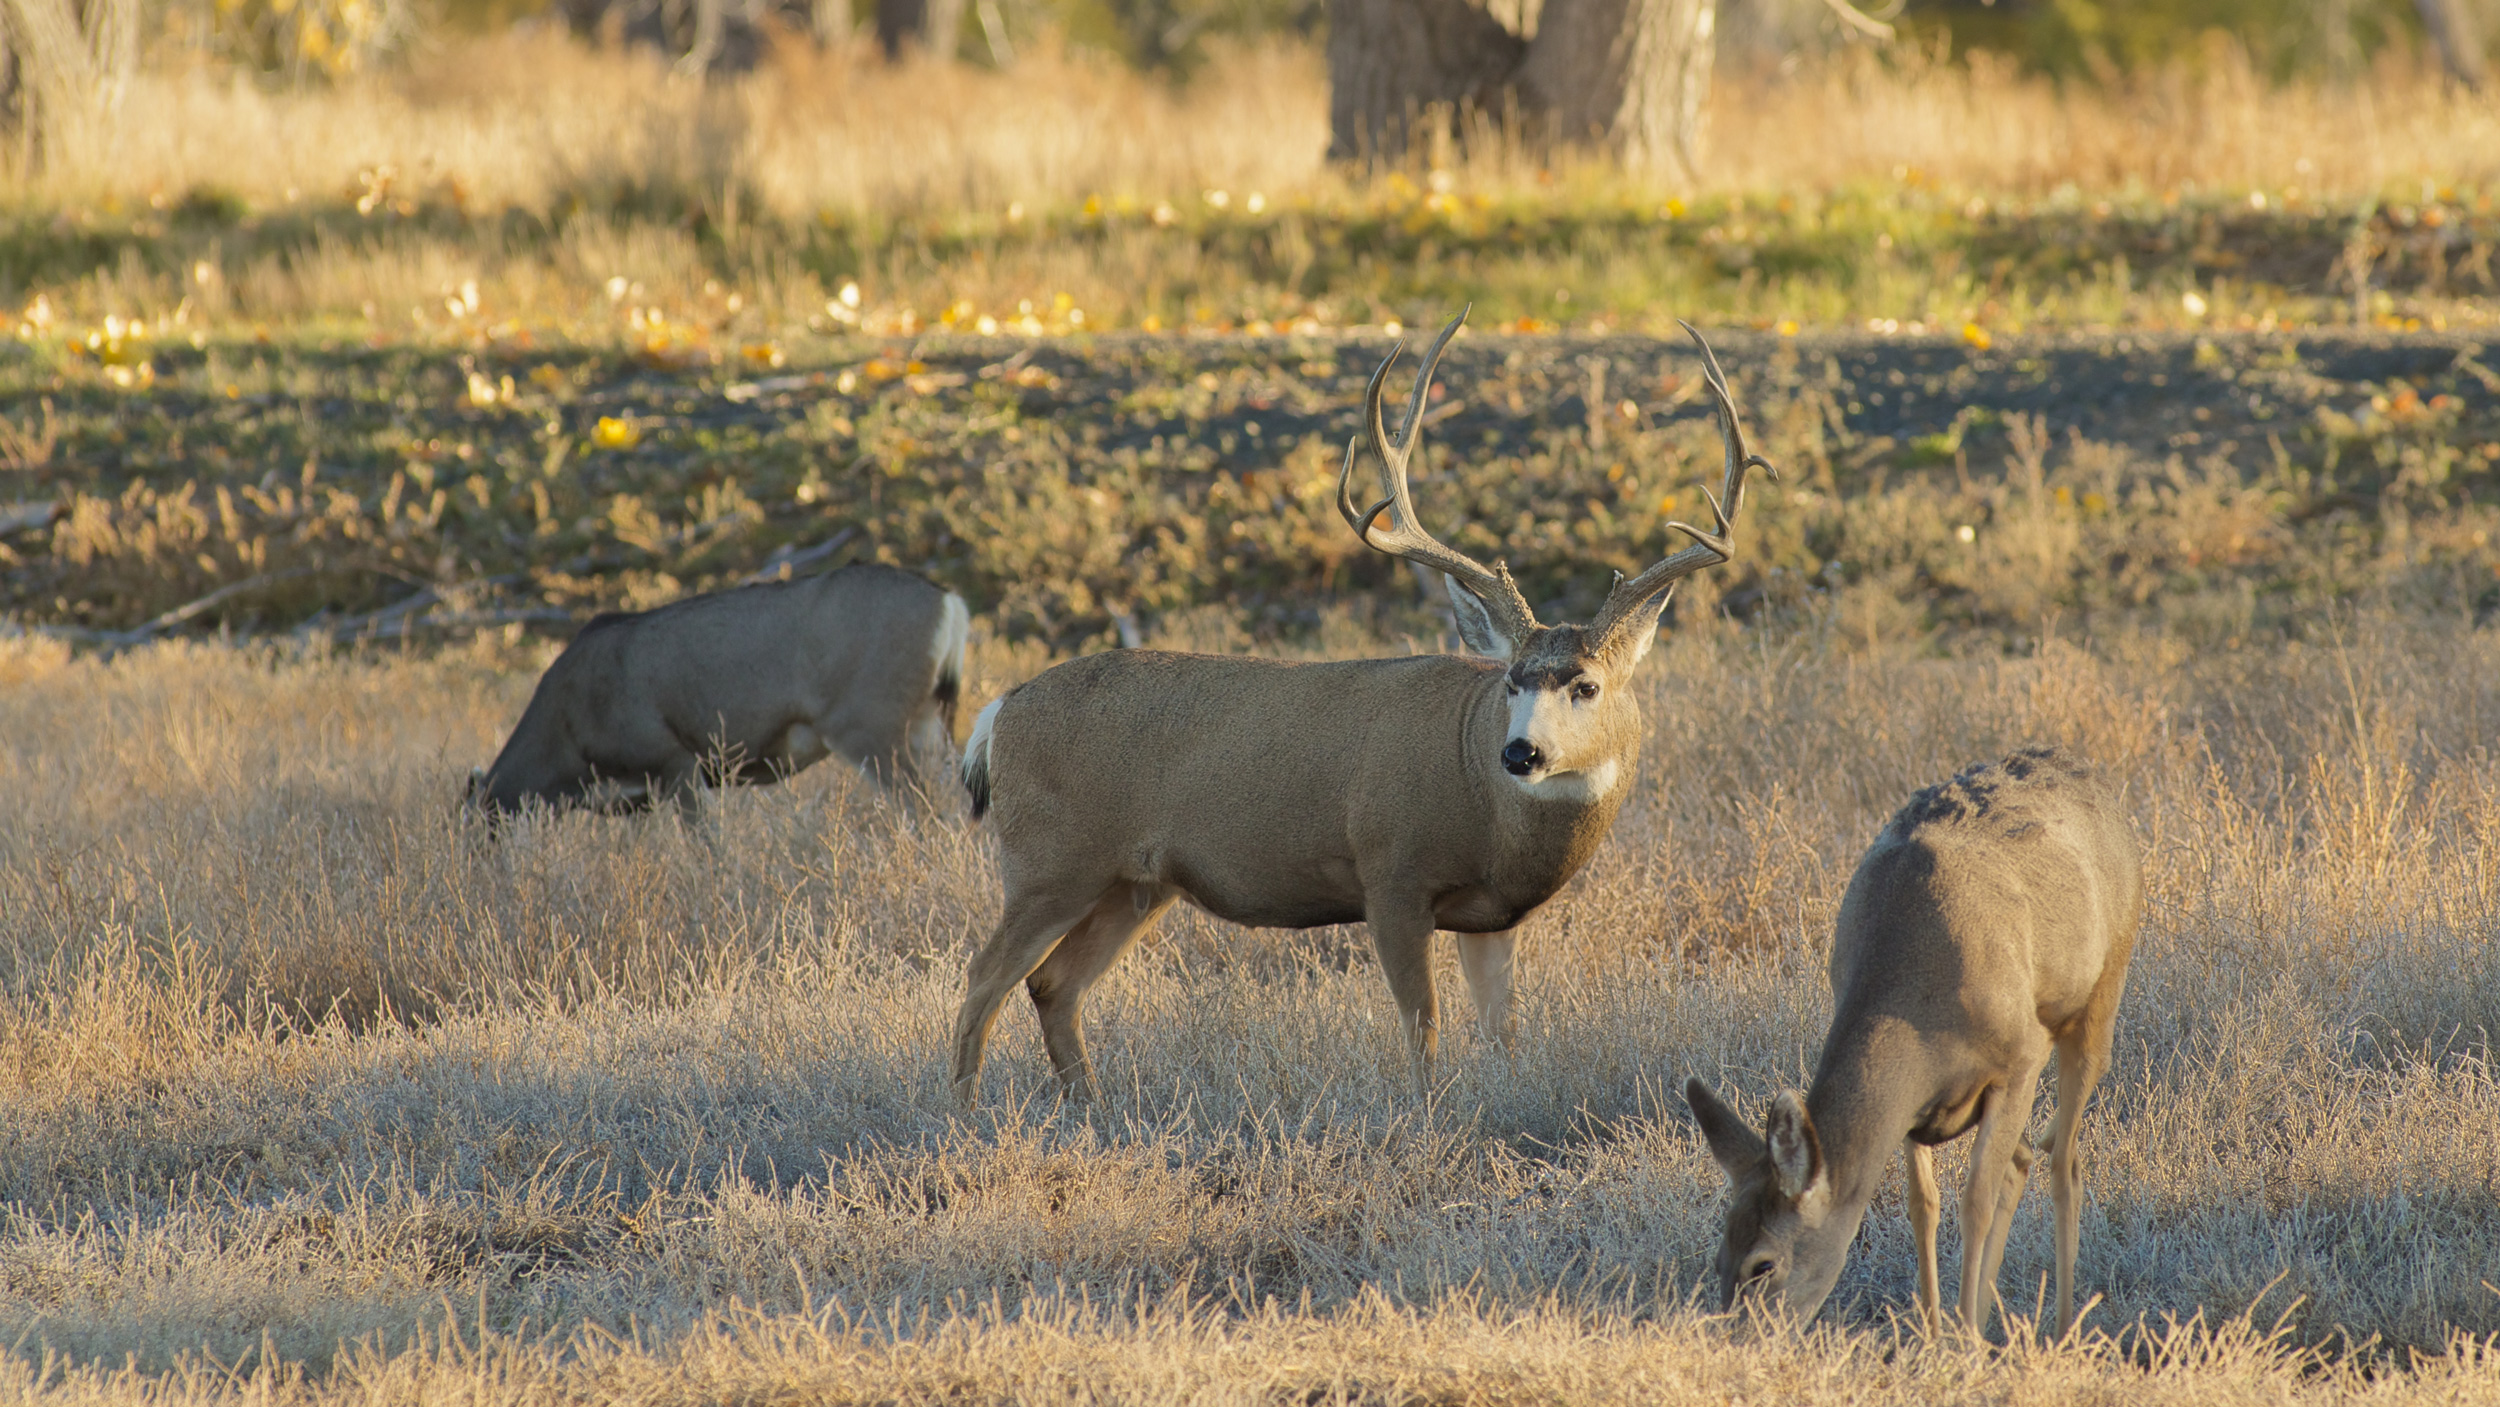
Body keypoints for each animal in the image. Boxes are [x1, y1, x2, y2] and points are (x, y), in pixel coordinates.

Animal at [466, 563, 968, 824]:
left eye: (482, 825)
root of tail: (950, 602)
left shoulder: (674, 759)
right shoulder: (636, 800)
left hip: (869, 723)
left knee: (924, 809)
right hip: (930, 719)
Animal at [950, 311, 1775, 1105]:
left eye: (1586, 685)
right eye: (1511, 679)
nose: (1521, 753)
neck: (1487, 809)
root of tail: (1000, 711)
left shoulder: (1495, 917)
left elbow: (1503, 1035)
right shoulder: (1391, 873)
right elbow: (1424, 1026)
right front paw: (1430, 1115)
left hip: (1135, 883)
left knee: (1053, 983)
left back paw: (1089, 1106)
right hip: (1050, 857)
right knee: (984, 976)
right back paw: (965, 1109)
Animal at [1685, 746, 2142, 1338]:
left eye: (1763, 1265)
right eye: (1718, 1256)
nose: (1734, 1341)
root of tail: (2090, 775)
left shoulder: (2021, 1056)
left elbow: (1975, 1200)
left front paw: (1962, 1337)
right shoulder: (1913, 1106)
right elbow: (1923, 1205)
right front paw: (1934, 1331)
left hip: (2101, 994)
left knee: (2064, 1162)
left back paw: (2061, 1330)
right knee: (2024, 1159)